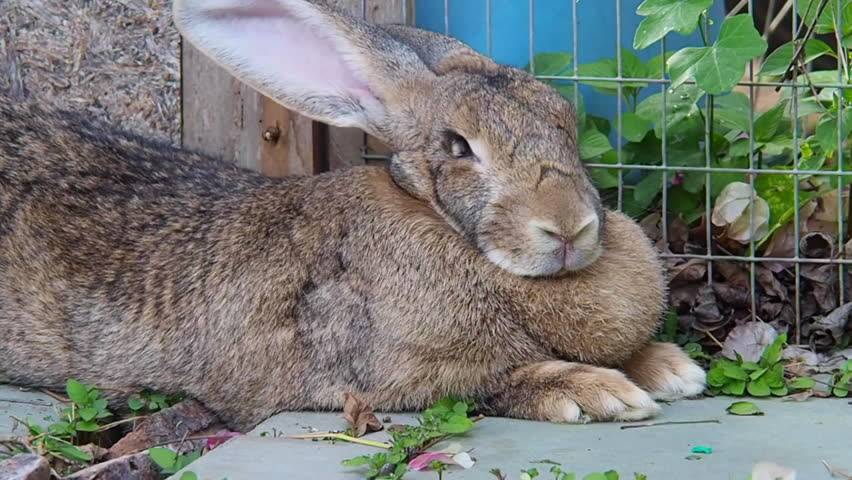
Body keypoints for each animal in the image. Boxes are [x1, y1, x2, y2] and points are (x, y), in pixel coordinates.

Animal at [0, 0, 706, 432]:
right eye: (458, 147)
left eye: (564, 122)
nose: (570, 228)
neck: (440, 225)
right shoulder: (376, 376)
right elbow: (489, 383)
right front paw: (595, 391)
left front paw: (669, 367)